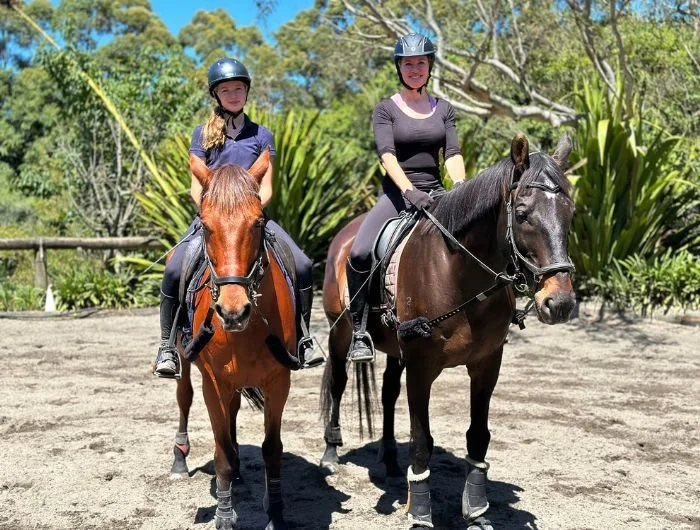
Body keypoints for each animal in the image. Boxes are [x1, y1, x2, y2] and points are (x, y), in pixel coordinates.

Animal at [167, 150, 296, 530]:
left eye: (257, 223)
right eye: (207, 225)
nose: (233, 311)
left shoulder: (278, 380)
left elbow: (272, 449)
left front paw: (276, 510)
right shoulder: (213, 382)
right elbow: (220, 449)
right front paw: (224, 515)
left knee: (235, 410)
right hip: (183, 360)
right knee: (184, 398)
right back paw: (179, 459)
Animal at [320, 133, 576, 528]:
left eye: (571, 214)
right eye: (522, 215)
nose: (559, 302)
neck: (460, 276)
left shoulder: (487, 364)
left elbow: (478, 436)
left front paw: (477, 511)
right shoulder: (421, 368)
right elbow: (421, 441)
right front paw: (420, 513)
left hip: (395, 347)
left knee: (388, 393)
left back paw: (389, 459)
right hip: (341, 333)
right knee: (338, 382)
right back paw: (331, 453)